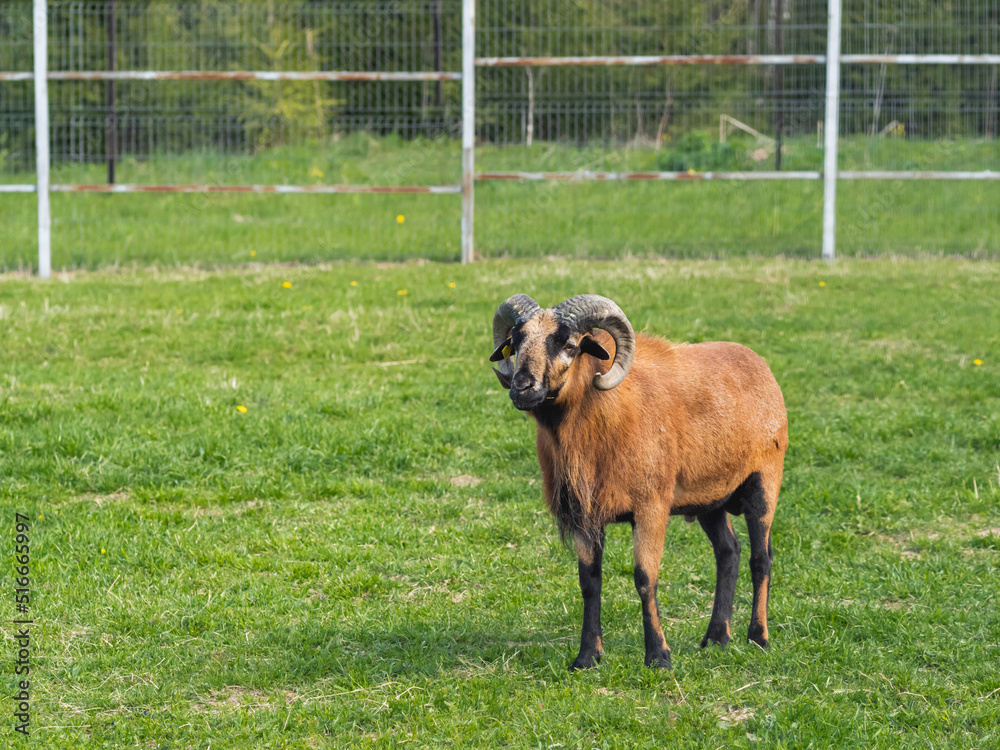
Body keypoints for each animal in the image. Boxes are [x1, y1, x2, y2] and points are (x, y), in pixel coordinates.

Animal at [489, 293, 787, 671]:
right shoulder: (586, 515)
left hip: (765, 481)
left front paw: (658, 656)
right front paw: (587, 657)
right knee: (728, 553)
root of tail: (758, 362)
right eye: (515, 342)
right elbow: (589, 583)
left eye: (570, 345)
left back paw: (758, 637)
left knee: (761, 558)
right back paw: (717, 638)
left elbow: (645, 579)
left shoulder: (651, 507)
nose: (522, 387)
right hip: (710, 499)